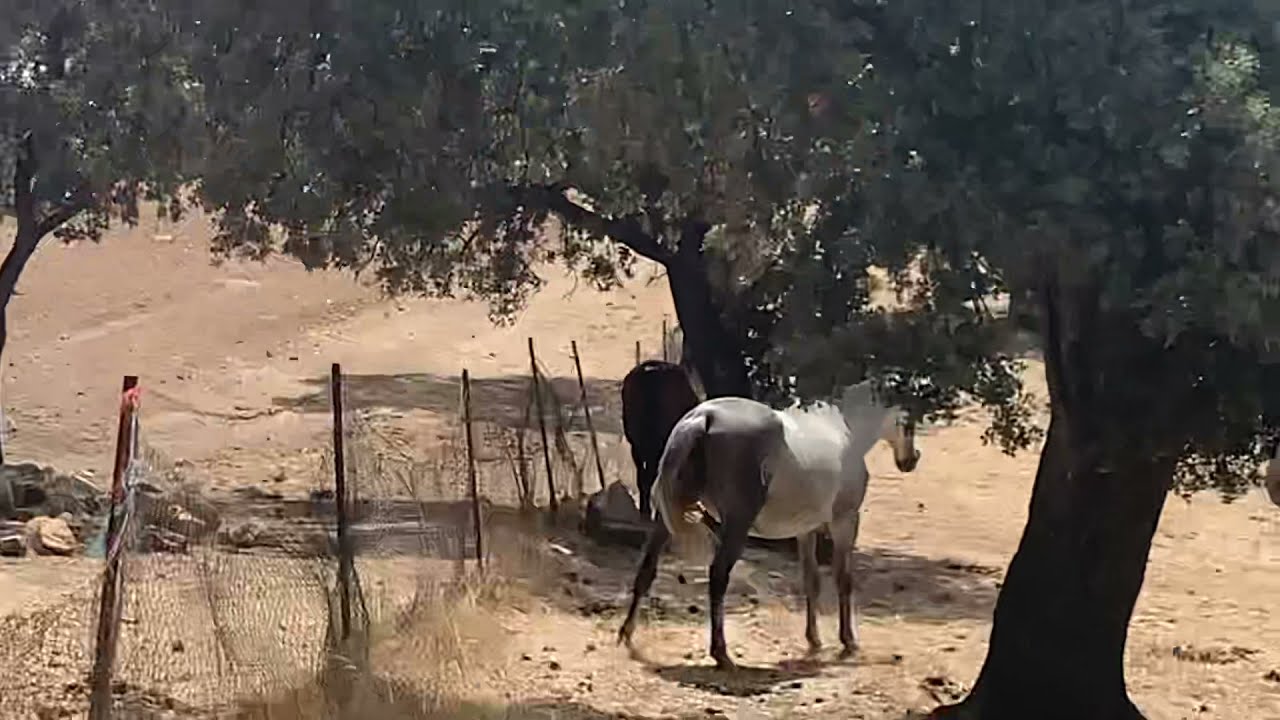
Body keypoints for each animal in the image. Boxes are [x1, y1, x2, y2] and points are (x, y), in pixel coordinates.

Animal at [617, 380, 921, 670]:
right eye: (908, 420)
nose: (910, 460)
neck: (844, 430)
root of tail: (703, 418)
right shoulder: (845, 522)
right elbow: (843, 579)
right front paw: (848, 642)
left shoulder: (806, 530)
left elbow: (811, 580)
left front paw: (814, 639)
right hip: (737, 525)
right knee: (718, 577)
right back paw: (721, 654)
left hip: (664, 521)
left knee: (646, 570)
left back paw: (627, 635)